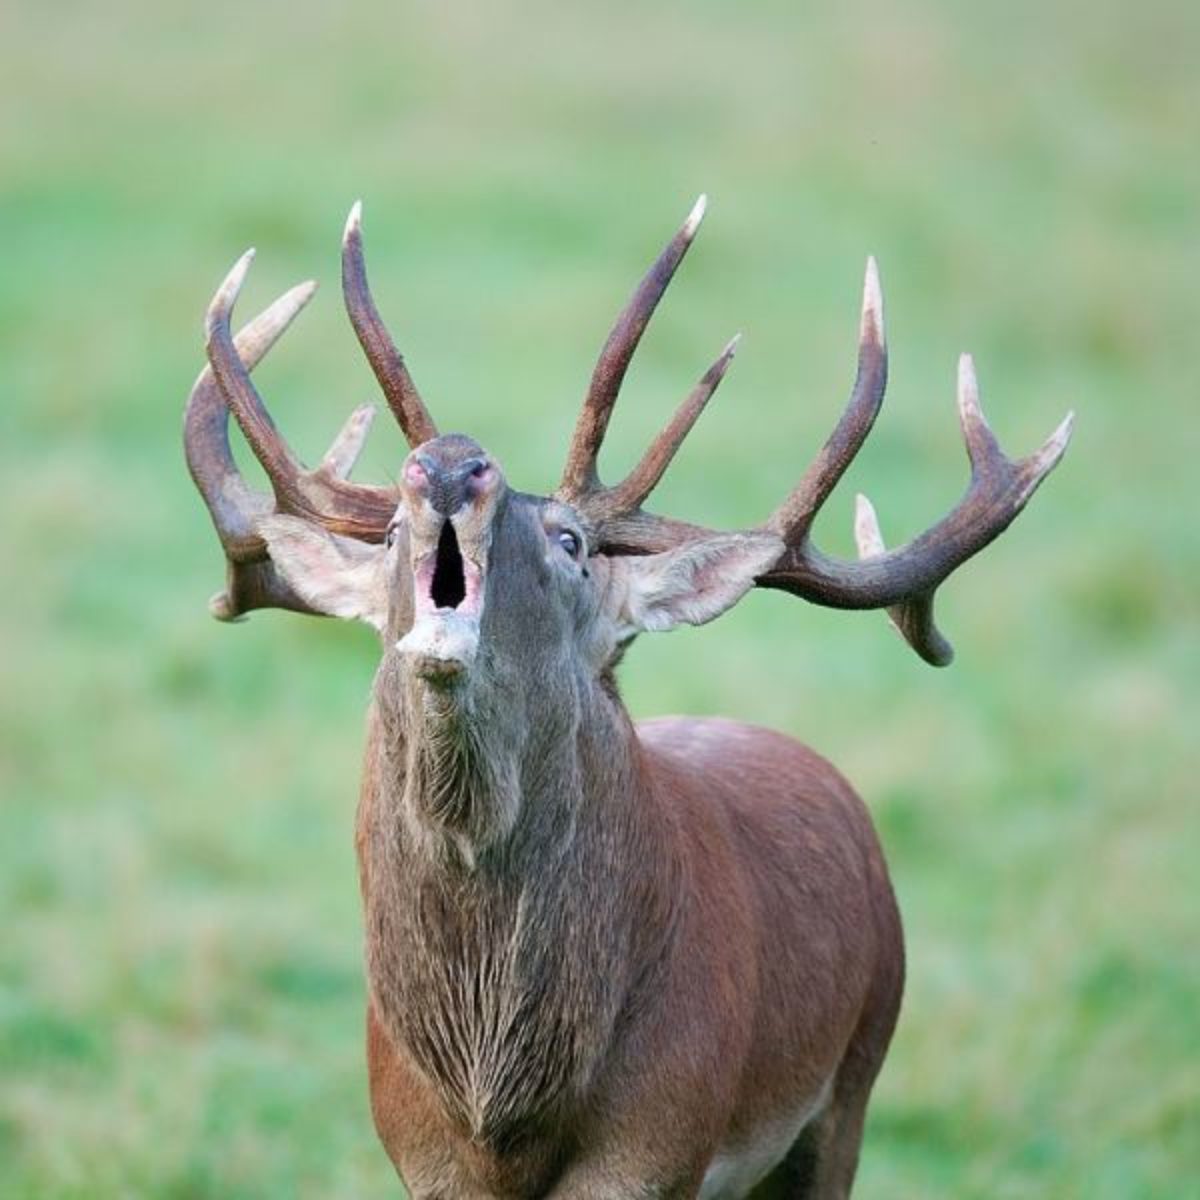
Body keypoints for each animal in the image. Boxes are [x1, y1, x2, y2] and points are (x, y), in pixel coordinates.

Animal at [184, 196, 1072, 1199]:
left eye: (571, 542)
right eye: (386, 547)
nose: (449, 463)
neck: (494, 1096)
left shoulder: (660, 1135)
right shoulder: (416, 1147)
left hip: (857, 1068)